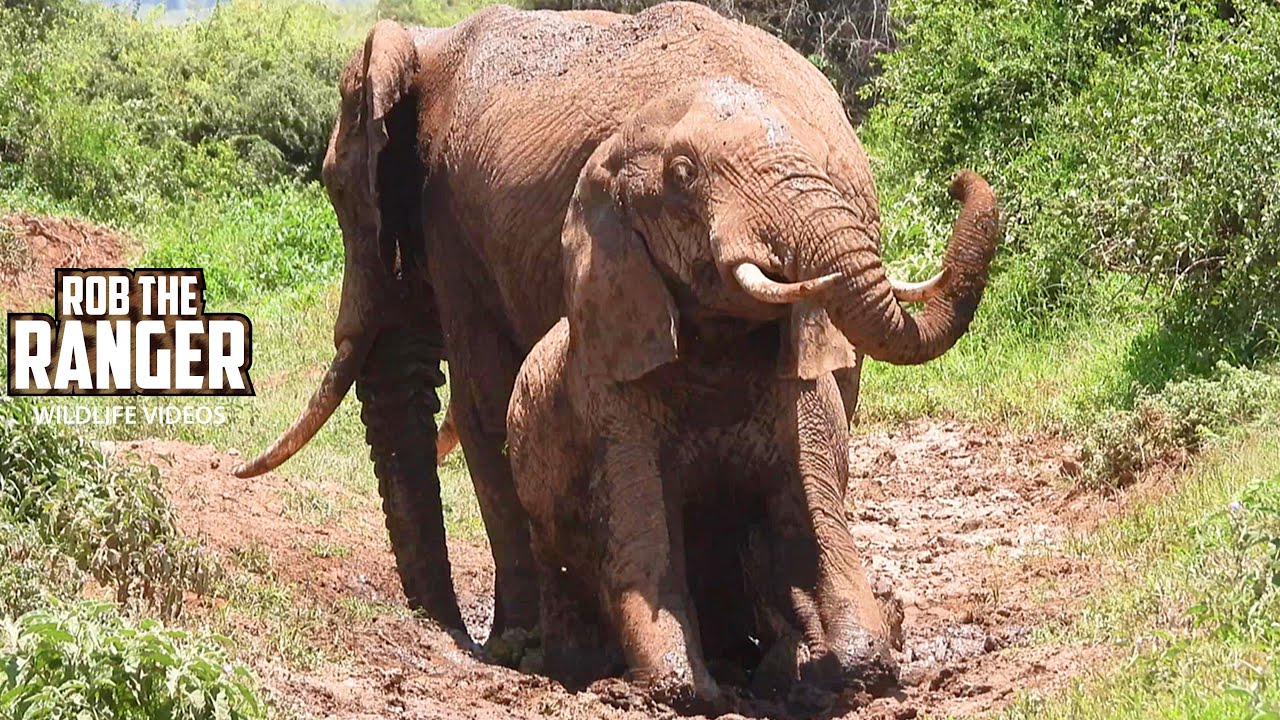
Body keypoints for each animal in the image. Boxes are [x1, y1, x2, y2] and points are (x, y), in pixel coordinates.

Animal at [231, 1, 998, 656]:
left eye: (336, 189)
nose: (446, 632)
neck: (426, 44)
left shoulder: (454, 224)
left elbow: (482, 406)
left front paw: (519, 648)